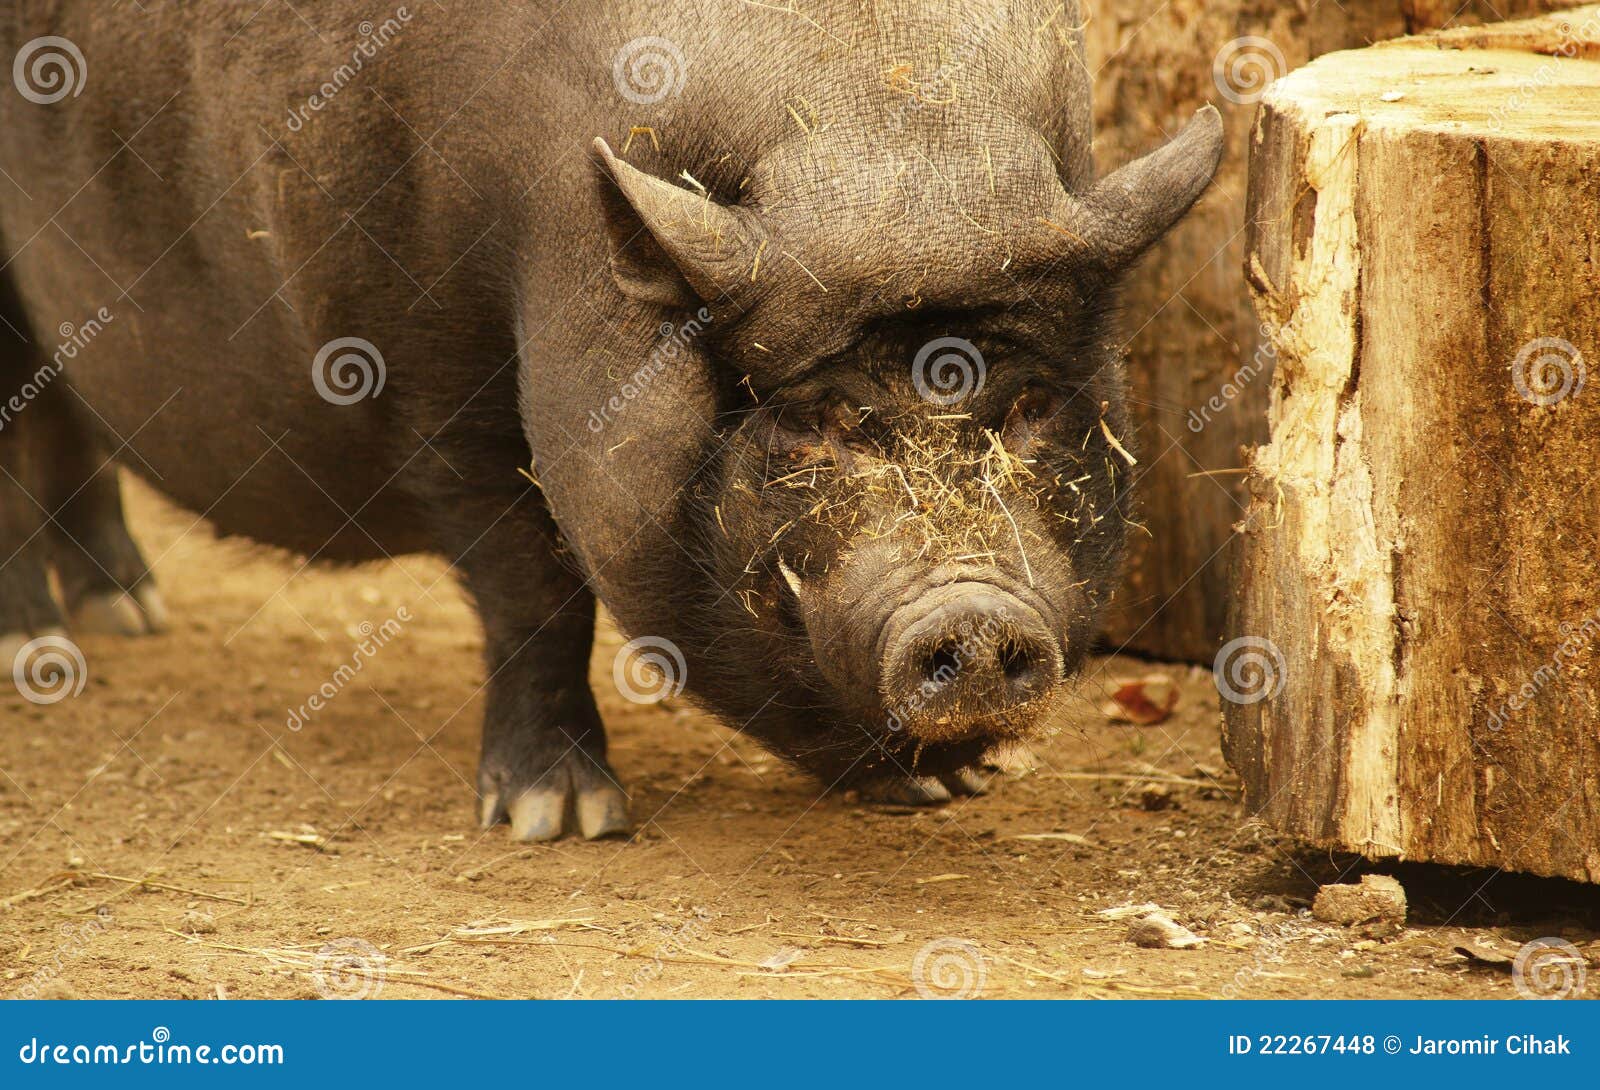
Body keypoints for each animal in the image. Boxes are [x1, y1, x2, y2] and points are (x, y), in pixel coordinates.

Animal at [0, 1, 1221, 839]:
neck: (890, 140)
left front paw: (944, 786)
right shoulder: (432, 365)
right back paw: (42, 654)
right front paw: (559, 822)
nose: (971, 613)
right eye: (812, 419)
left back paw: (129, 615)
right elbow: (531, 592)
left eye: (1033, 403)